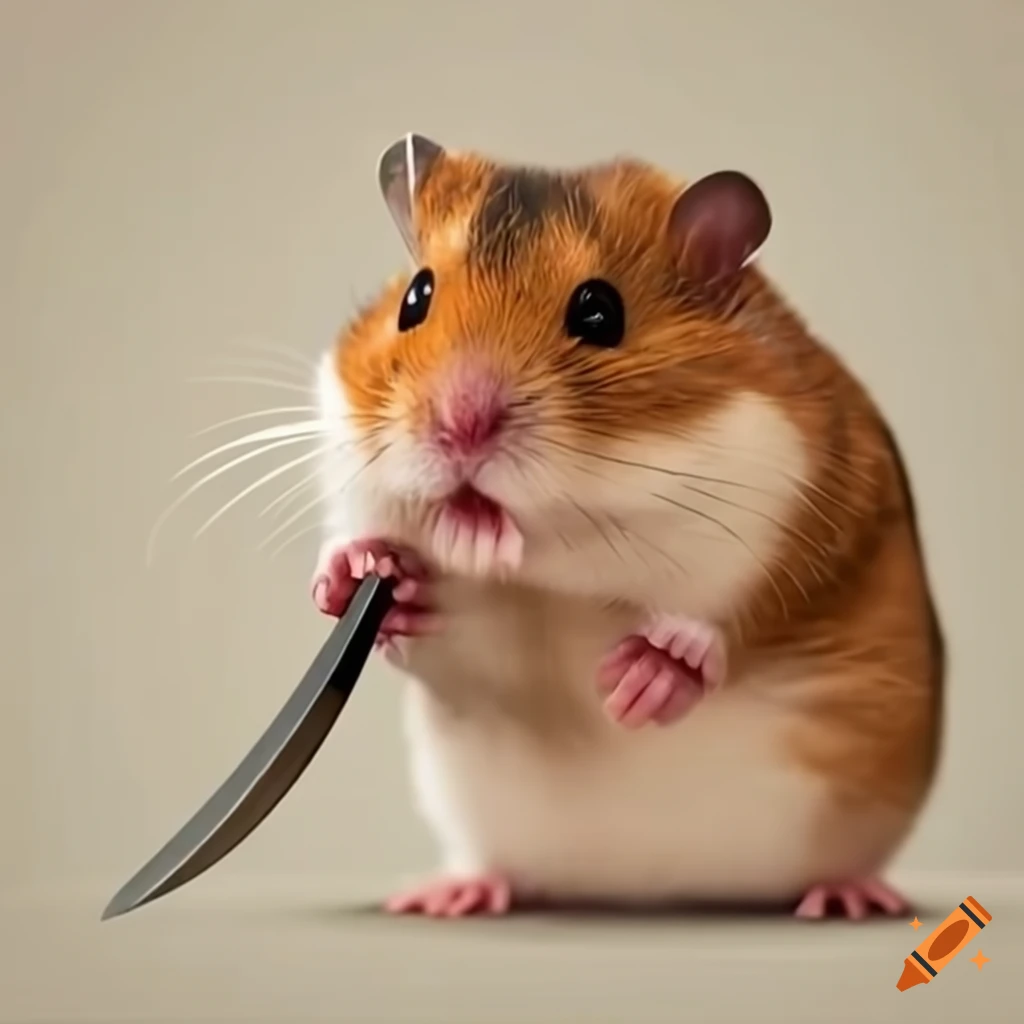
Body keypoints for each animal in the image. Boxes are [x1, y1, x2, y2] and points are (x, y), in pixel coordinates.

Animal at [311, 133, 944, 920]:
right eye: (414, 298)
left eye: (600, 314)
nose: (460, 428)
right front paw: (357, 575)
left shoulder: (796, 523)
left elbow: (723, 625)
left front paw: (636, 680)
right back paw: (447, 894)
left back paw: (847, 897)